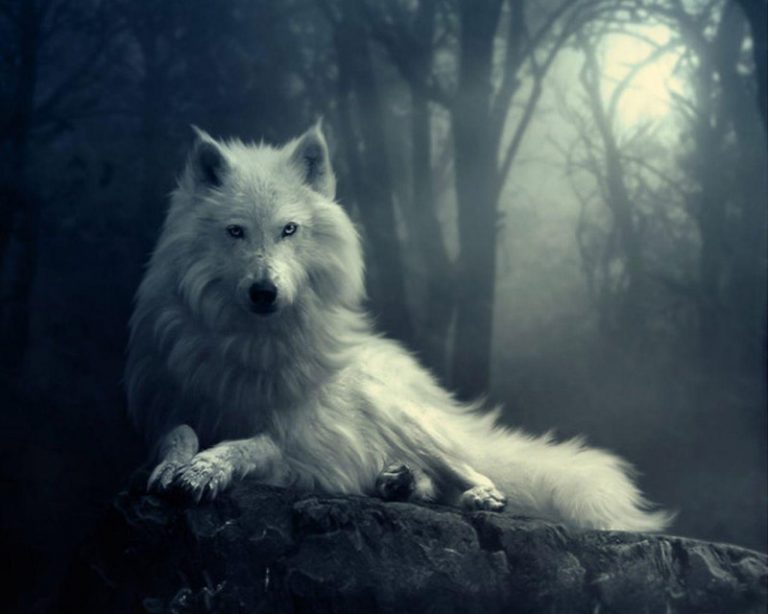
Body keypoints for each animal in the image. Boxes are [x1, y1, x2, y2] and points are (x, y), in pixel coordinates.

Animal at [126, 124, 671, 532]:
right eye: (235, 231)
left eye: (289, 230)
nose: (264, 292)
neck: (251, 344)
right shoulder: (165, 407)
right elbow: (177, 433)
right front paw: (174, 466)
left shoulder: (297, 442)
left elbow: (249, 444)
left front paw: (206, 469)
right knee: (425, 481)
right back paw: (397, 482)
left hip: (404, 418)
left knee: (475, 472)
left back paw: (475, 496)